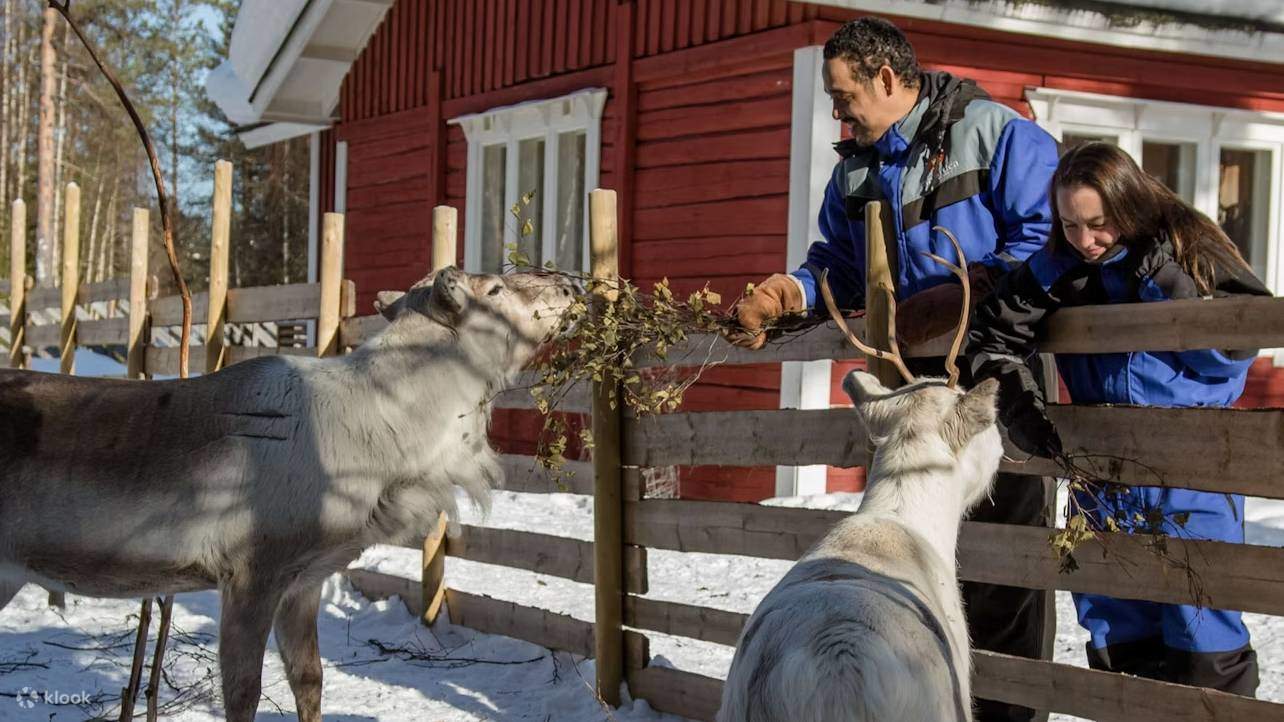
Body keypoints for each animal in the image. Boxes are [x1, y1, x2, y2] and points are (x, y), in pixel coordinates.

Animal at [0, 266, 578, 722]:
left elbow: (310, 679)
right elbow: (243, 693)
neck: (394, 448)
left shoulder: (305, 579)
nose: (571, 283)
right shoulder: (251, 571)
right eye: (496, 289)